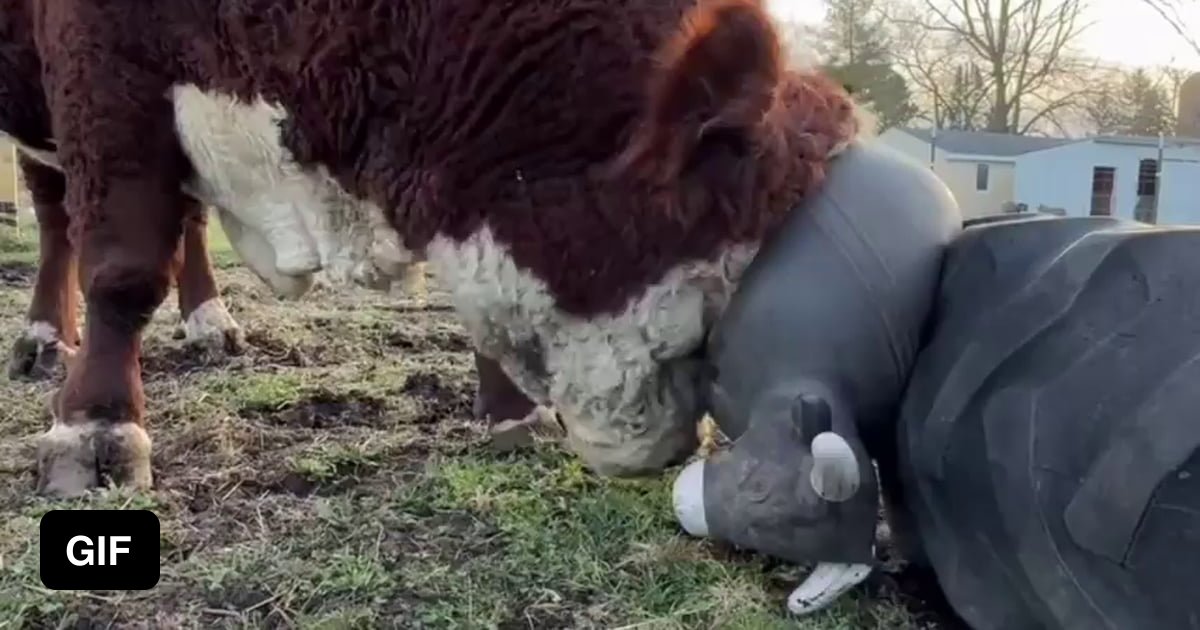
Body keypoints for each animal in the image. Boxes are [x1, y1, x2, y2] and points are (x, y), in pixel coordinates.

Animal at [8, 0, 860, 496]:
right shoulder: (98, 71)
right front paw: (95, 427)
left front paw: (513, 413)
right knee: (54, 215)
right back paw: (46, 336)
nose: (680, 446)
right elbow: (122, 269)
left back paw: (208, 321)